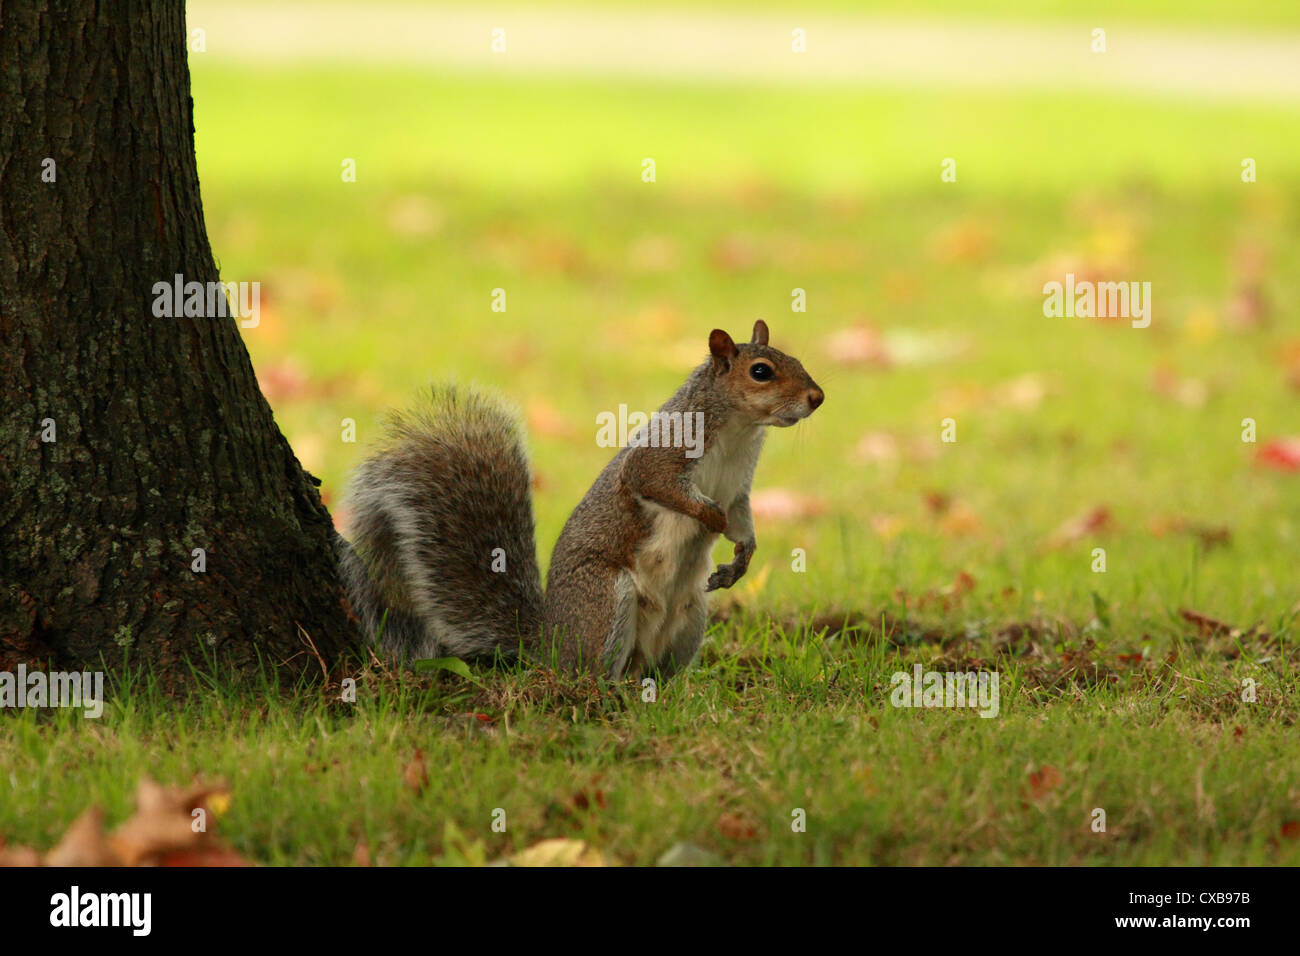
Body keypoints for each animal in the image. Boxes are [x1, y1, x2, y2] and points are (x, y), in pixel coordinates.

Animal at [335, 320, 824, 680]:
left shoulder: (739, 484)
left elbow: (742, 518)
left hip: (691, 615)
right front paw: (709, 516)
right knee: (592, 671)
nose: (817, 397)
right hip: (605, 600)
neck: (740, 430)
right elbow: (659, 484)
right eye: (761, 371)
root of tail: (552, 643)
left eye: (798, 360)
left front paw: (742, 557)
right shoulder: (661, 456)